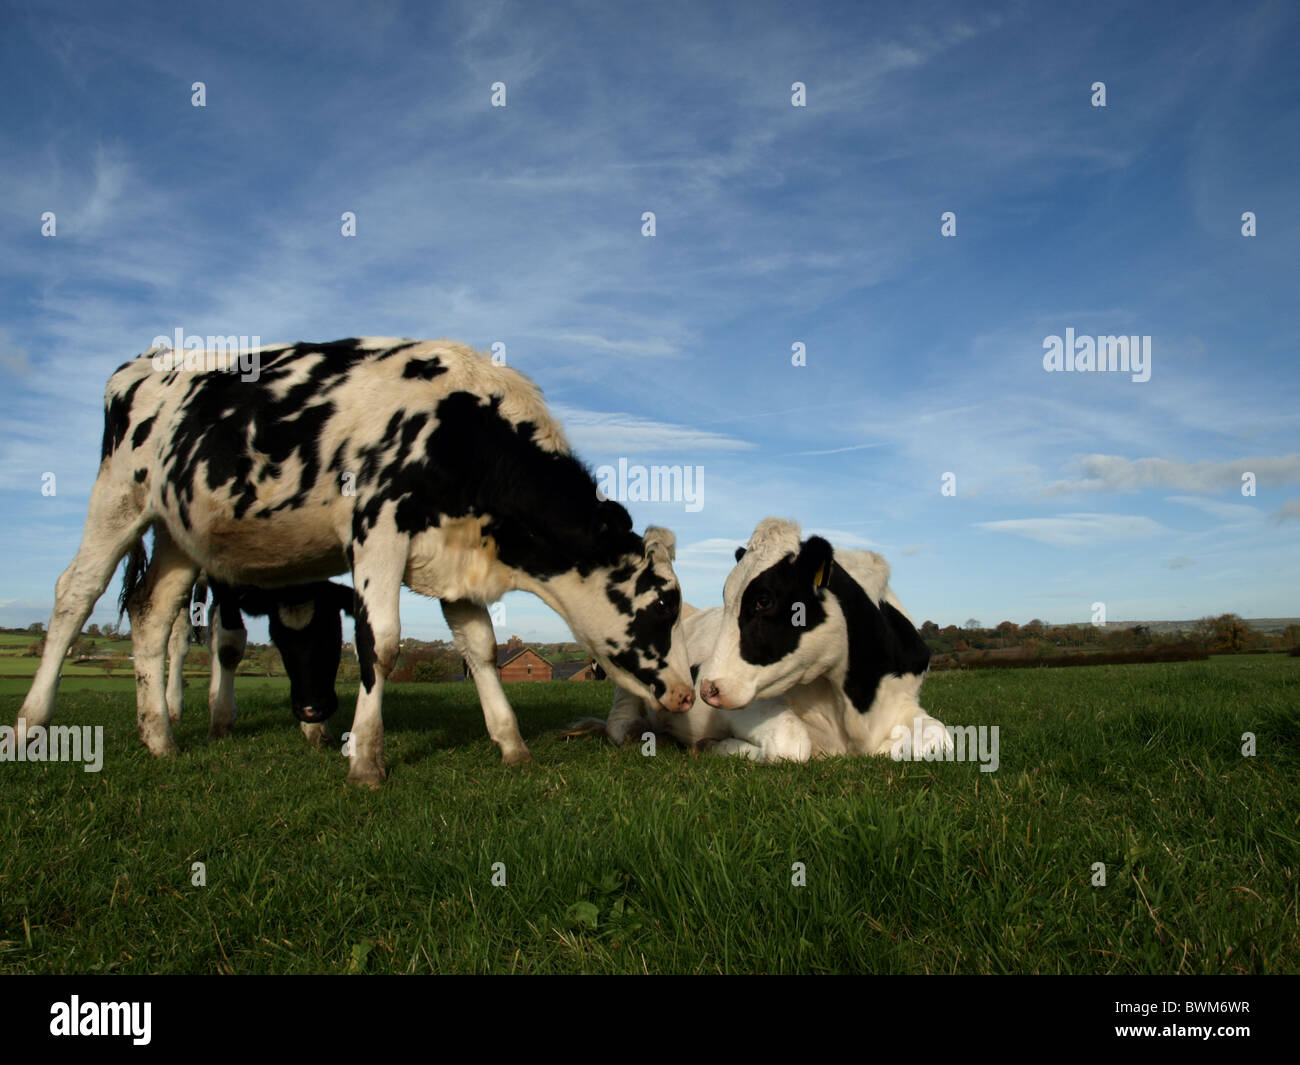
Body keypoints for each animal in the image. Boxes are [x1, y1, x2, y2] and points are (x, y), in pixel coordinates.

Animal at [17, 337, 694, 785]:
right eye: (665, 604)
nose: (688, 694)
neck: (459, 425)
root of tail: (149, 358)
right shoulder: (379, 526)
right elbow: (382, 642)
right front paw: (365, 759)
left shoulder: (456, 556)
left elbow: (478, 648)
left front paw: (510, 744)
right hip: (118, 499)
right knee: (74, 593)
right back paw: (30, 724)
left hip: (183, 533)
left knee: (153, 614)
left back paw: (159, 736)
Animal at [594, 519, 953, 762]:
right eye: (727, 597)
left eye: (763, 600)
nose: (705, 688)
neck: (858, 703)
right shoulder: (746, 705)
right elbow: (792, 743)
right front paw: (713, 745)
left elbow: (941, 738)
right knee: (619, 721)